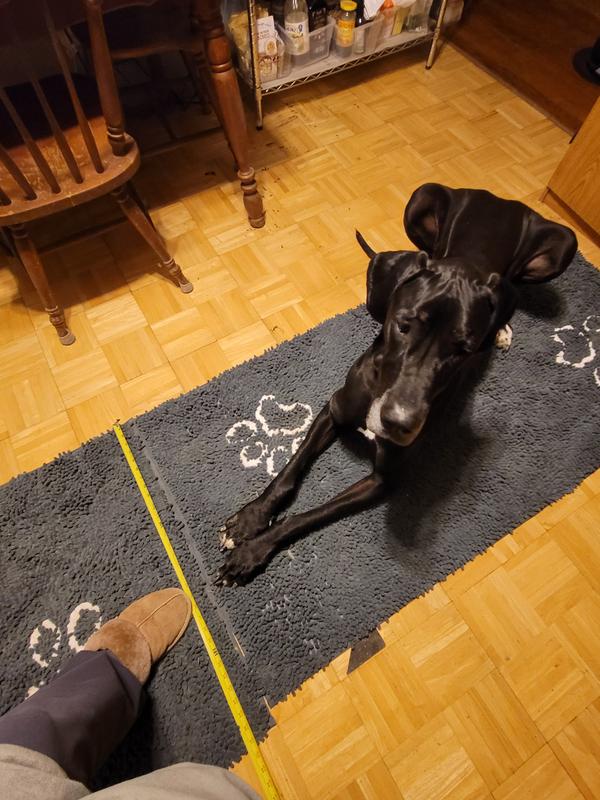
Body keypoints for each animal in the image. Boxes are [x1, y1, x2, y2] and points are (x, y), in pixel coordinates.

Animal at [216, 183, 577, 585]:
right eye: (404, 325)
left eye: (462, 349)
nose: (400, 423)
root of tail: (499, 199)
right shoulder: (334, 410)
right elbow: (289, 473)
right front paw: (250, 519)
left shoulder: (383, 479)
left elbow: (308, 516)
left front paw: (252, 551)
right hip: (420, 200)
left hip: (564, 243)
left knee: (513, 289)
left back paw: (501, 327)